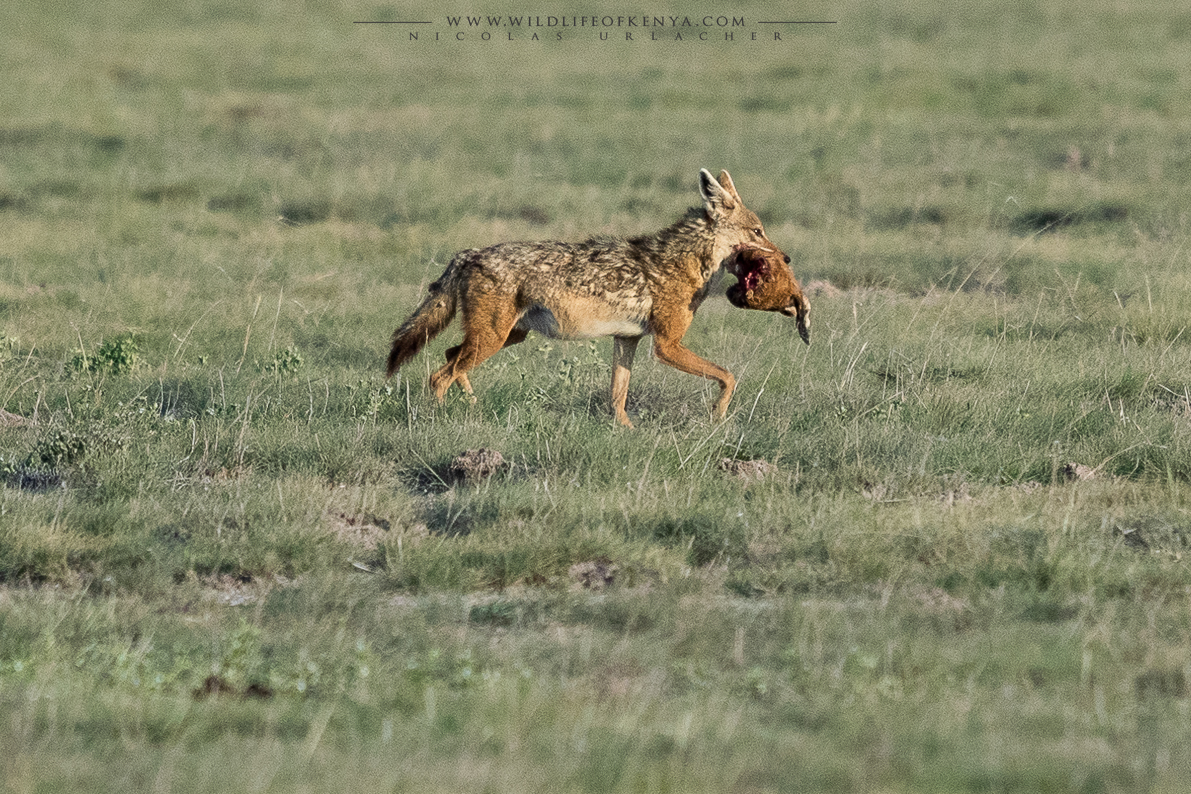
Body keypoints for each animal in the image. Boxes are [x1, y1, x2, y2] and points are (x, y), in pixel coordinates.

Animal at [386, 169, 808, 427]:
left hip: (507, 336)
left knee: (449, 358)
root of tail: (469, 253)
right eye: (758, 231)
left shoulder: (627, 340)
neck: (684, 263)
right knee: (438, 376)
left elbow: (618, 396)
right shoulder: (667, 346)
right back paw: (442, 418)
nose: (787, 258)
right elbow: (728, 376)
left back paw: (473, 407)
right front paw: (719, 415)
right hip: (492, 339)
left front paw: (626, 431)